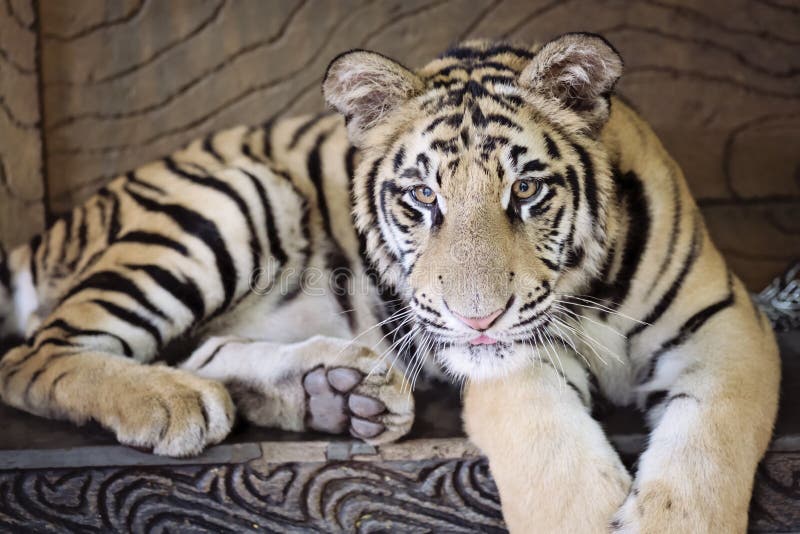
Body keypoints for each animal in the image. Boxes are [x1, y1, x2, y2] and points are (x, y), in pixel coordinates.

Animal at [0, 33, 780, 532]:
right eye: (421, 197)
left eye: (526, 190)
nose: (476, 321)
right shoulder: (516, 370)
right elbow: (556, 471)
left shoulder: (727, 330)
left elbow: (705, 468)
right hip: (231, 200)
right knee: (34, 355)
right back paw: (174, 404)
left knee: (200, 350)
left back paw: (334, 392)